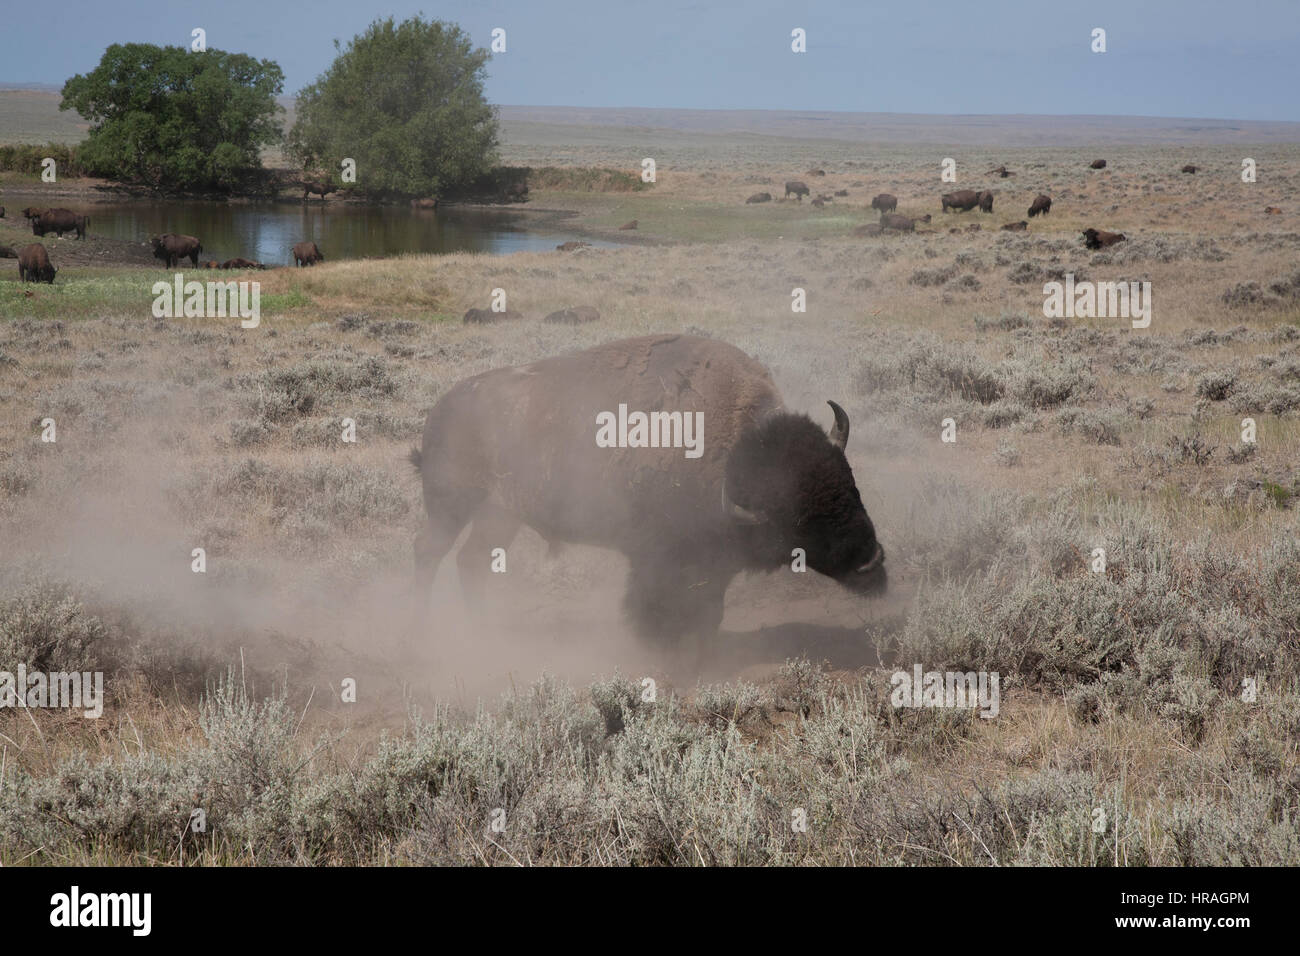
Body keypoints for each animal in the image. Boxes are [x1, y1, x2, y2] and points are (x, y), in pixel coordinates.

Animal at [409, 334, 887, 653]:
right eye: (799, 521)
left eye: (850, 483)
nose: (872, 564)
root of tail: (440, 410)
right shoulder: (659, 557)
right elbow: (657, 603)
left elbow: (710, 605)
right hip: (451, 508)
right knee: (429, 554)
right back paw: (424, 632)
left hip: (499, 517)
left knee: (471, 562)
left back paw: (485, 632)